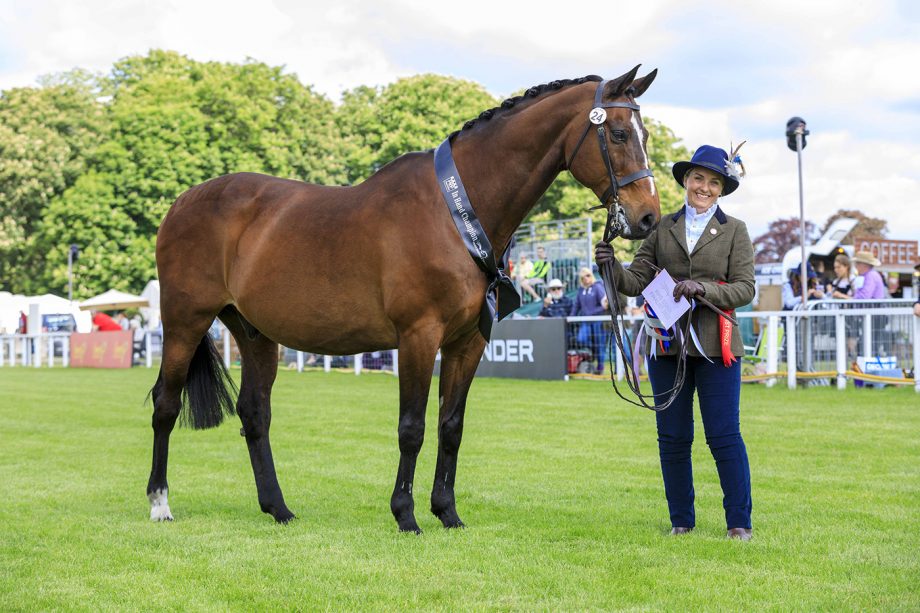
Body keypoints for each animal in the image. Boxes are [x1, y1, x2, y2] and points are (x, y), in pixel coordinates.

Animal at [147, 65, 661, 533]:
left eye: (646, 134)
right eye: (618, 133)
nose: (648, 217)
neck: (454, 211)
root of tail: (182, 202)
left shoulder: (467, 342)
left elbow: (451, 426)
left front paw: (447, 512)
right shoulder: (418, 335)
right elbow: (411, 427)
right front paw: (406, 515)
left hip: (255, 334)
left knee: (254, 414)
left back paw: (279, 508)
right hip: (185, 321)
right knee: (165, 405)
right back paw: (160, 504)